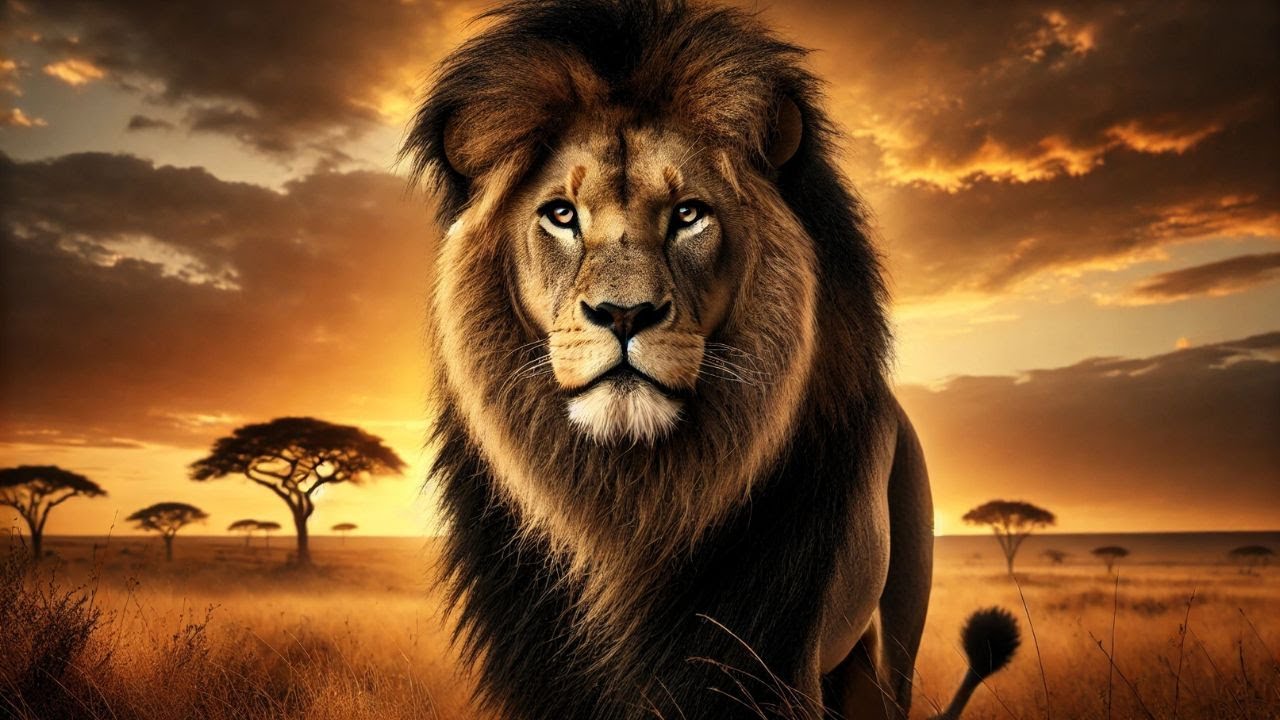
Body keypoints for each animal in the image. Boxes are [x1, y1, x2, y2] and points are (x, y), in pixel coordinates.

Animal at [402, 1, 1018, 718]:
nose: (624, 315)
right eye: (560, 215)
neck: (629, 502)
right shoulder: (541, 662)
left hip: (889, 649)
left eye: (689, 215)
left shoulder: (768, 654)